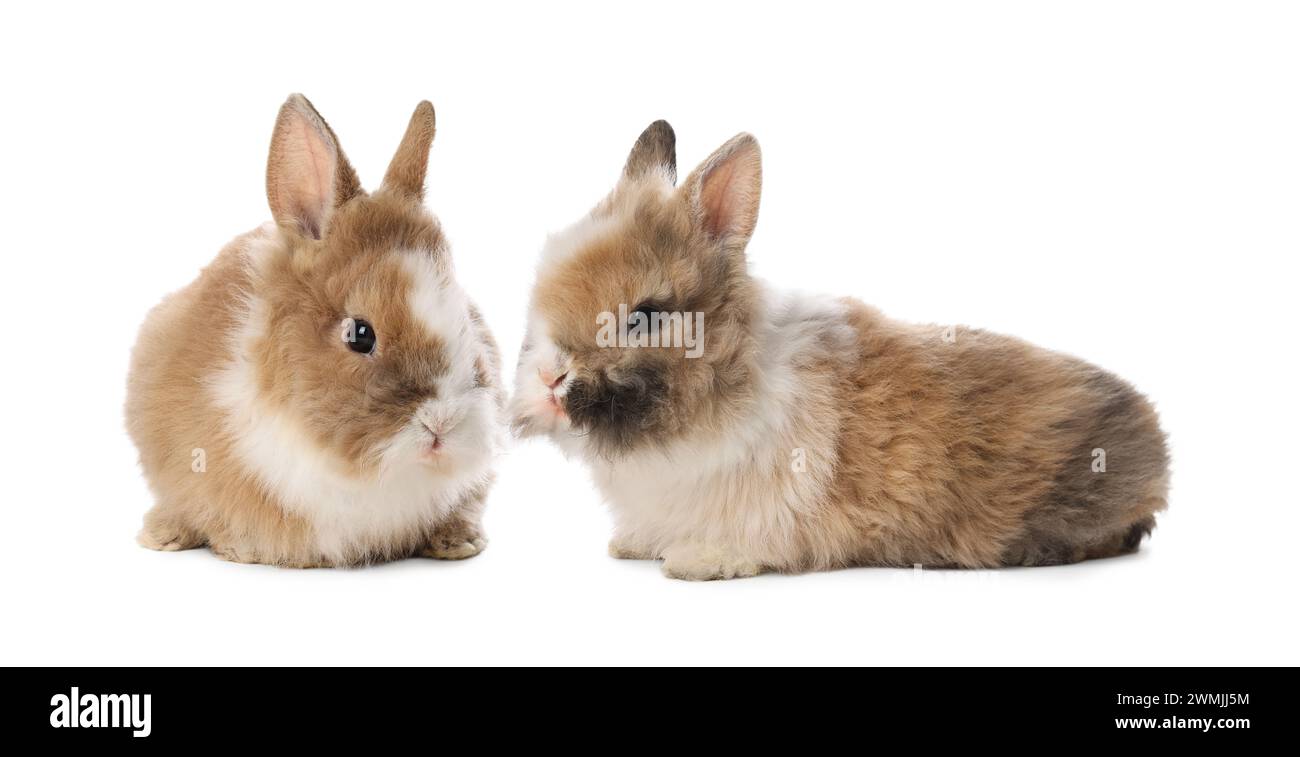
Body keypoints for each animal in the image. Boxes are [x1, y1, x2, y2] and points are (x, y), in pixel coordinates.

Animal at [126, 95, 504, 567]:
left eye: (468, 317)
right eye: (360, 334)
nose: (442, 423)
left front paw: (460, 542)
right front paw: (239, 548)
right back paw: (162, 535)